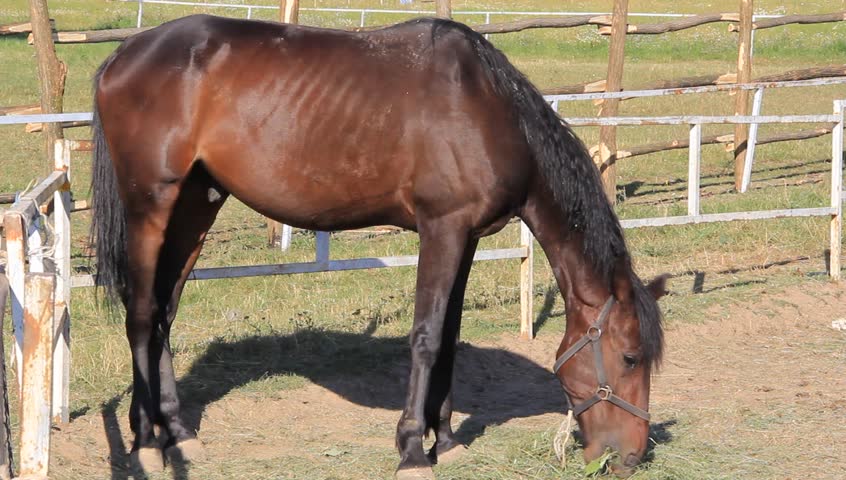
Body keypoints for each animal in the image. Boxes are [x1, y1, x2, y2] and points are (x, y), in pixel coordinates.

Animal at [89, 14, 666, 478]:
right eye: (630, 357)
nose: (633, 456)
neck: (486, 108)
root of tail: (124, 54)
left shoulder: (466, 238)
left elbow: (449, 337)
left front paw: (446, 441)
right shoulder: (442, 229)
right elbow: (427, 338)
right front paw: (412, 451)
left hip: (197, 204)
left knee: (164, 313)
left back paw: (180, 434)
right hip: (151, 206)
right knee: (141, 315)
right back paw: (145, 444)